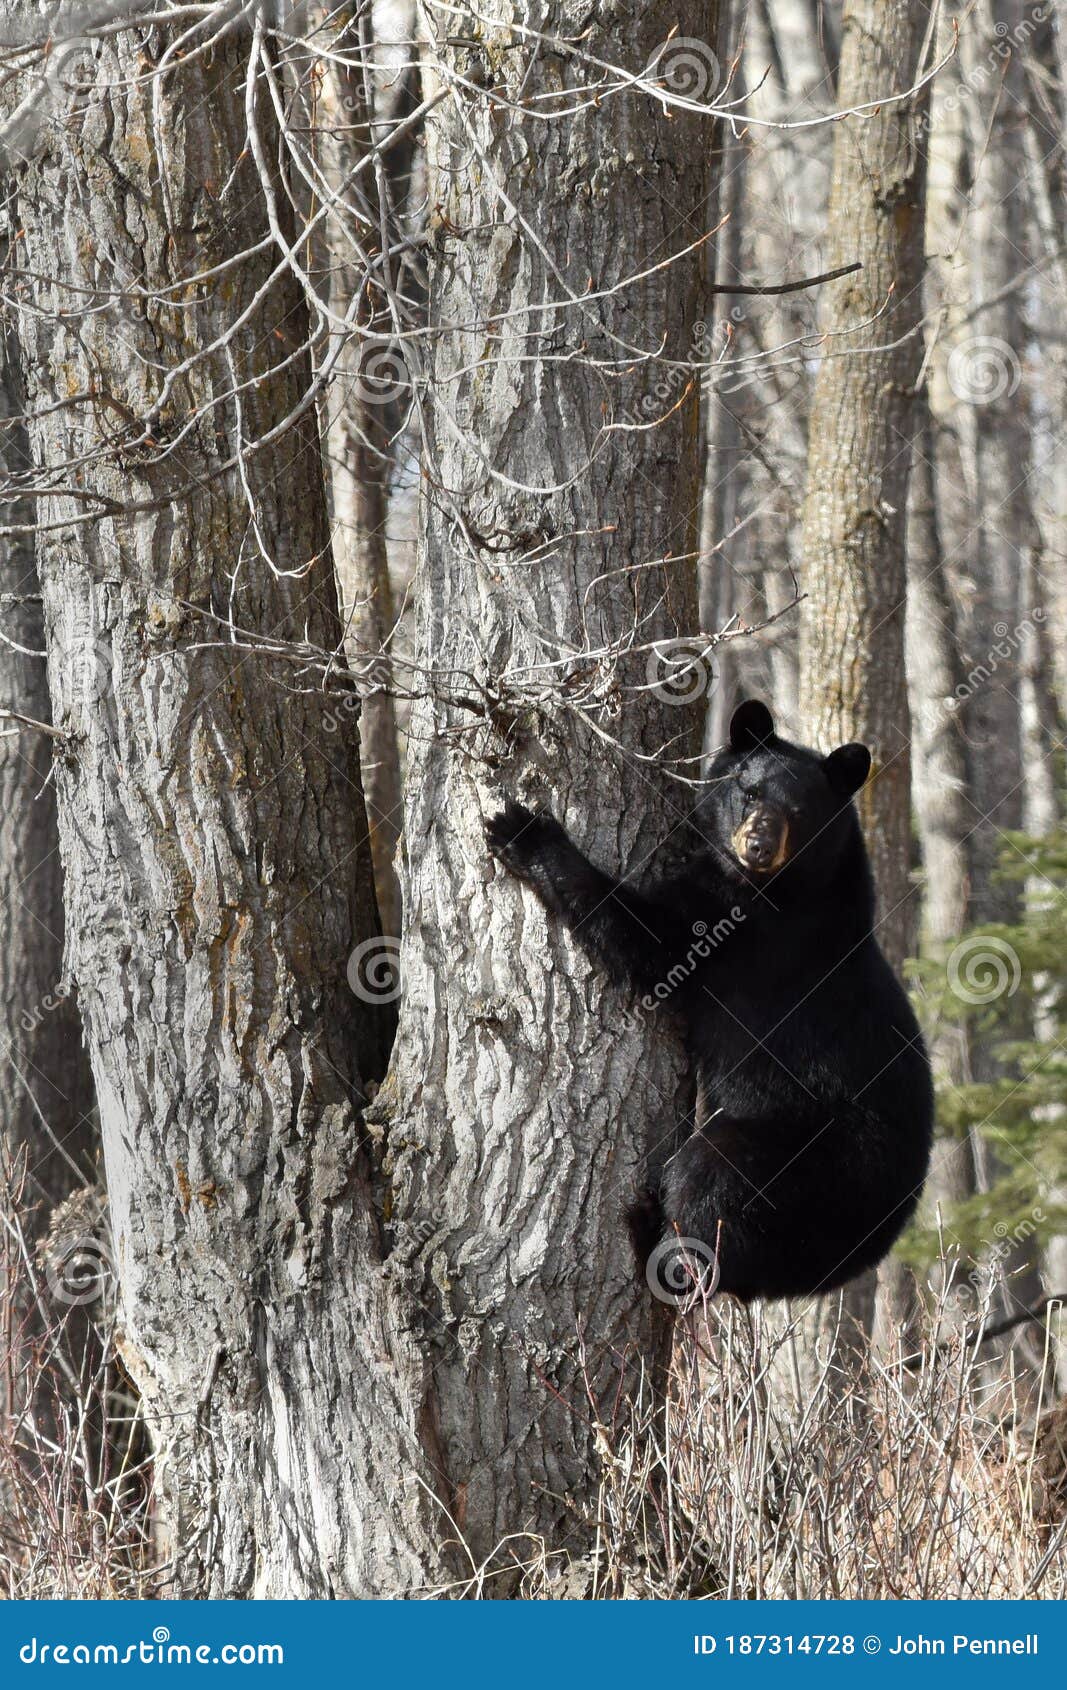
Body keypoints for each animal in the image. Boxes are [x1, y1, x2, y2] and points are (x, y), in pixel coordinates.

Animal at [485, 698, 933, 1304]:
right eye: (749, 790)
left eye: (800, 811)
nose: (758, 846)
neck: (787, 888)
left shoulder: (741, 930)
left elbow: (652, 941)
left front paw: (524, 831)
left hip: (798, 1158)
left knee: (710, 1182)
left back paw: (654, 1231)